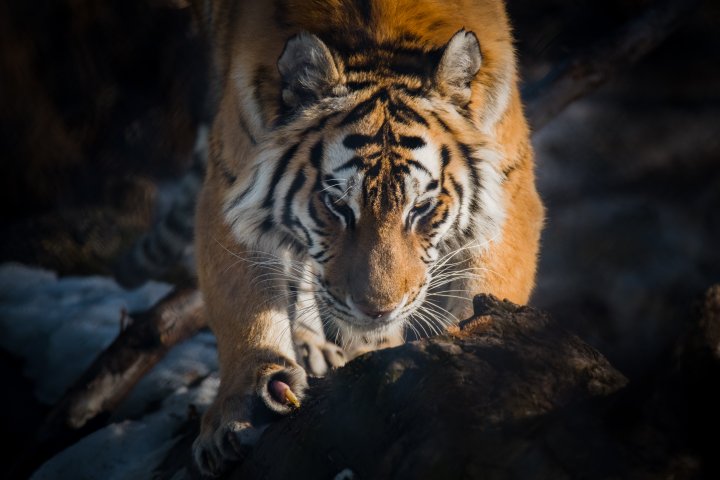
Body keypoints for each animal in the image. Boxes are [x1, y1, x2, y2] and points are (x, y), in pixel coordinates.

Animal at [190, 0, 544, 475]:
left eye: (421, 208)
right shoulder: (228, 180)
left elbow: (485, 289)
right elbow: (242, 306)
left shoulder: (511, 188)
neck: (377, 40)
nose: (378, 310)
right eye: (337, 205)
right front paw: (240, 409)